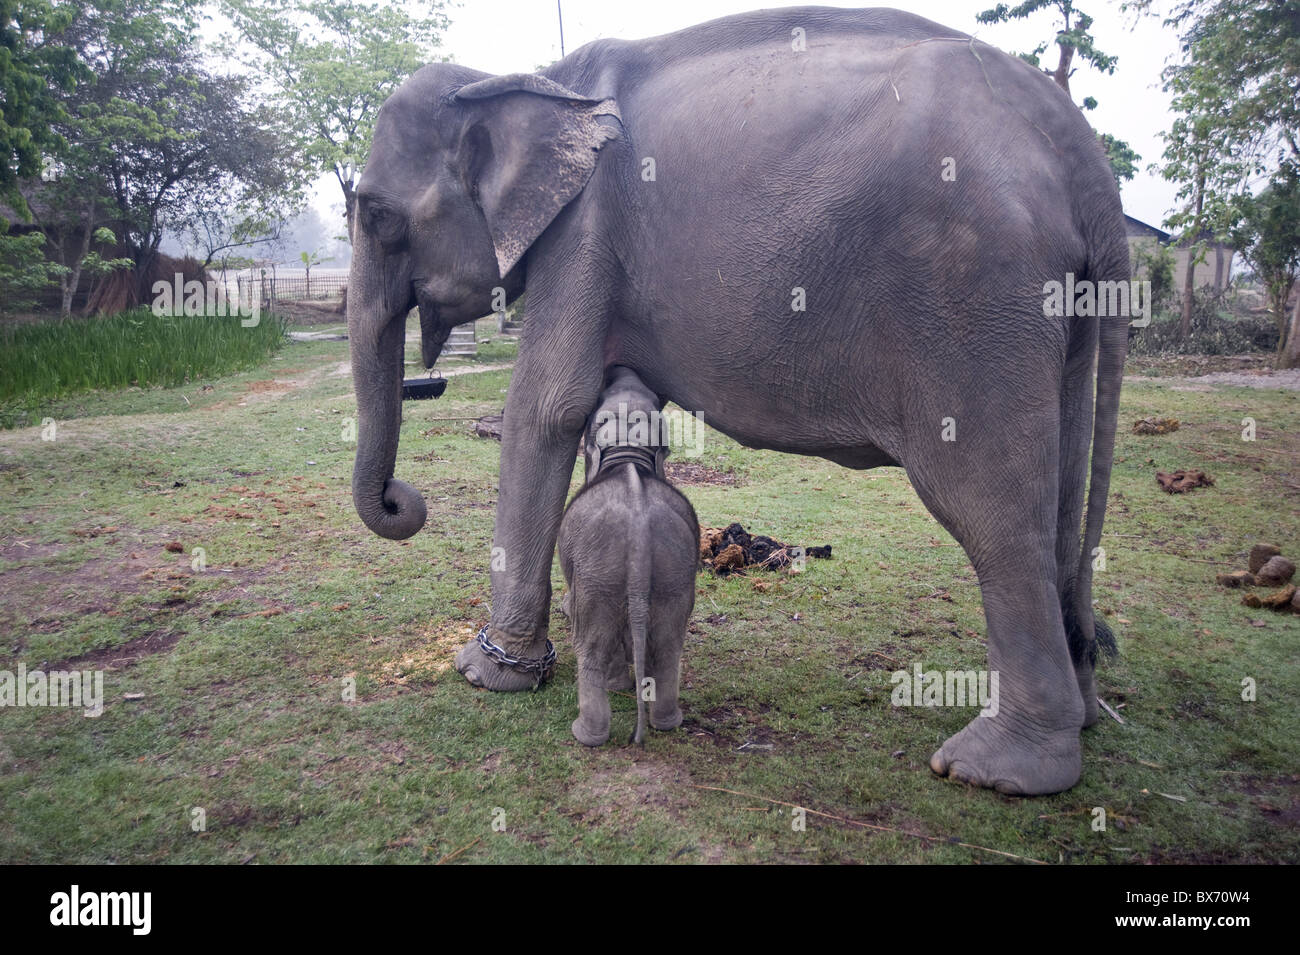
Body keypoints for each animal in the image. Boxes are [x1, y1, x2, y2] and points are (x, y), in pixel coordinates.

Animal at [557, 366, 699, 746]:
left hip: (596, 576)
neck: (629, 455)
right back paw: (666, 721)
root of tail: (638, 531)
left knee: (591, 646)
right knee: (668, 644)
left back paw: (587, 732)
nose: (622, 369)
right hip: (672, 574)